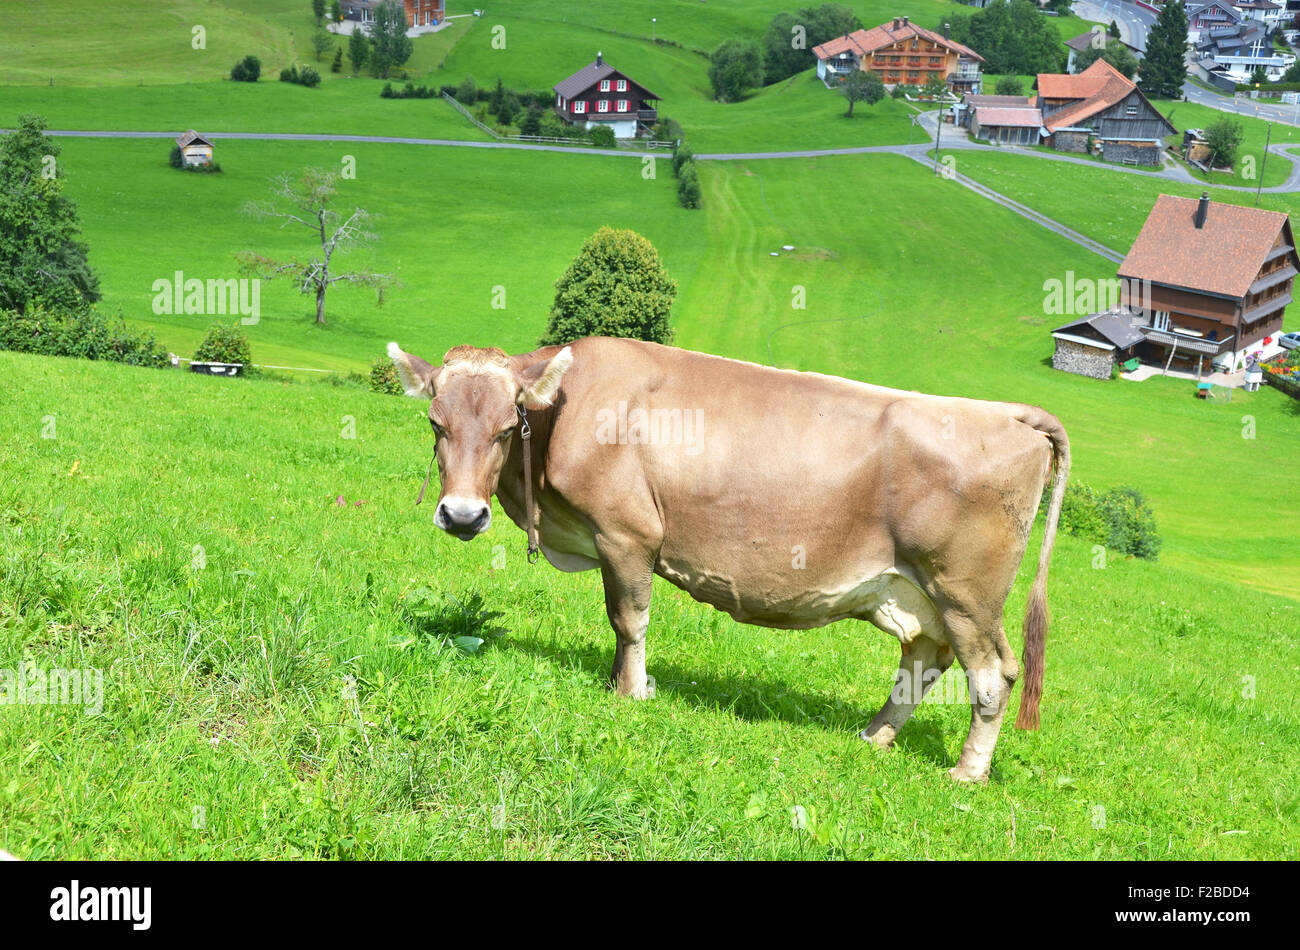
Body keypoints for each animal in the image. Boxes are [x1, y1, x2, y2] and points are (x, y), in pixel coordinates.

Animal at [388, 336, 1070, 783]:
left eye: (507, 427)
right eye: (435, 423)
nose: (462, 516)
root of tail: (1008, 414)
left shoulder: (627, 534)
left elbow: (629, 619)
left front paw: (631, 693)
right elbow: (618, 622)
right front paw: (616, 681)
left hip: (967, 592)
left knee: (992, 674)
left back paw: (967, 772)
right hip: (919, 591)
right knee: (924, 660)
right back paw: (873, 737)